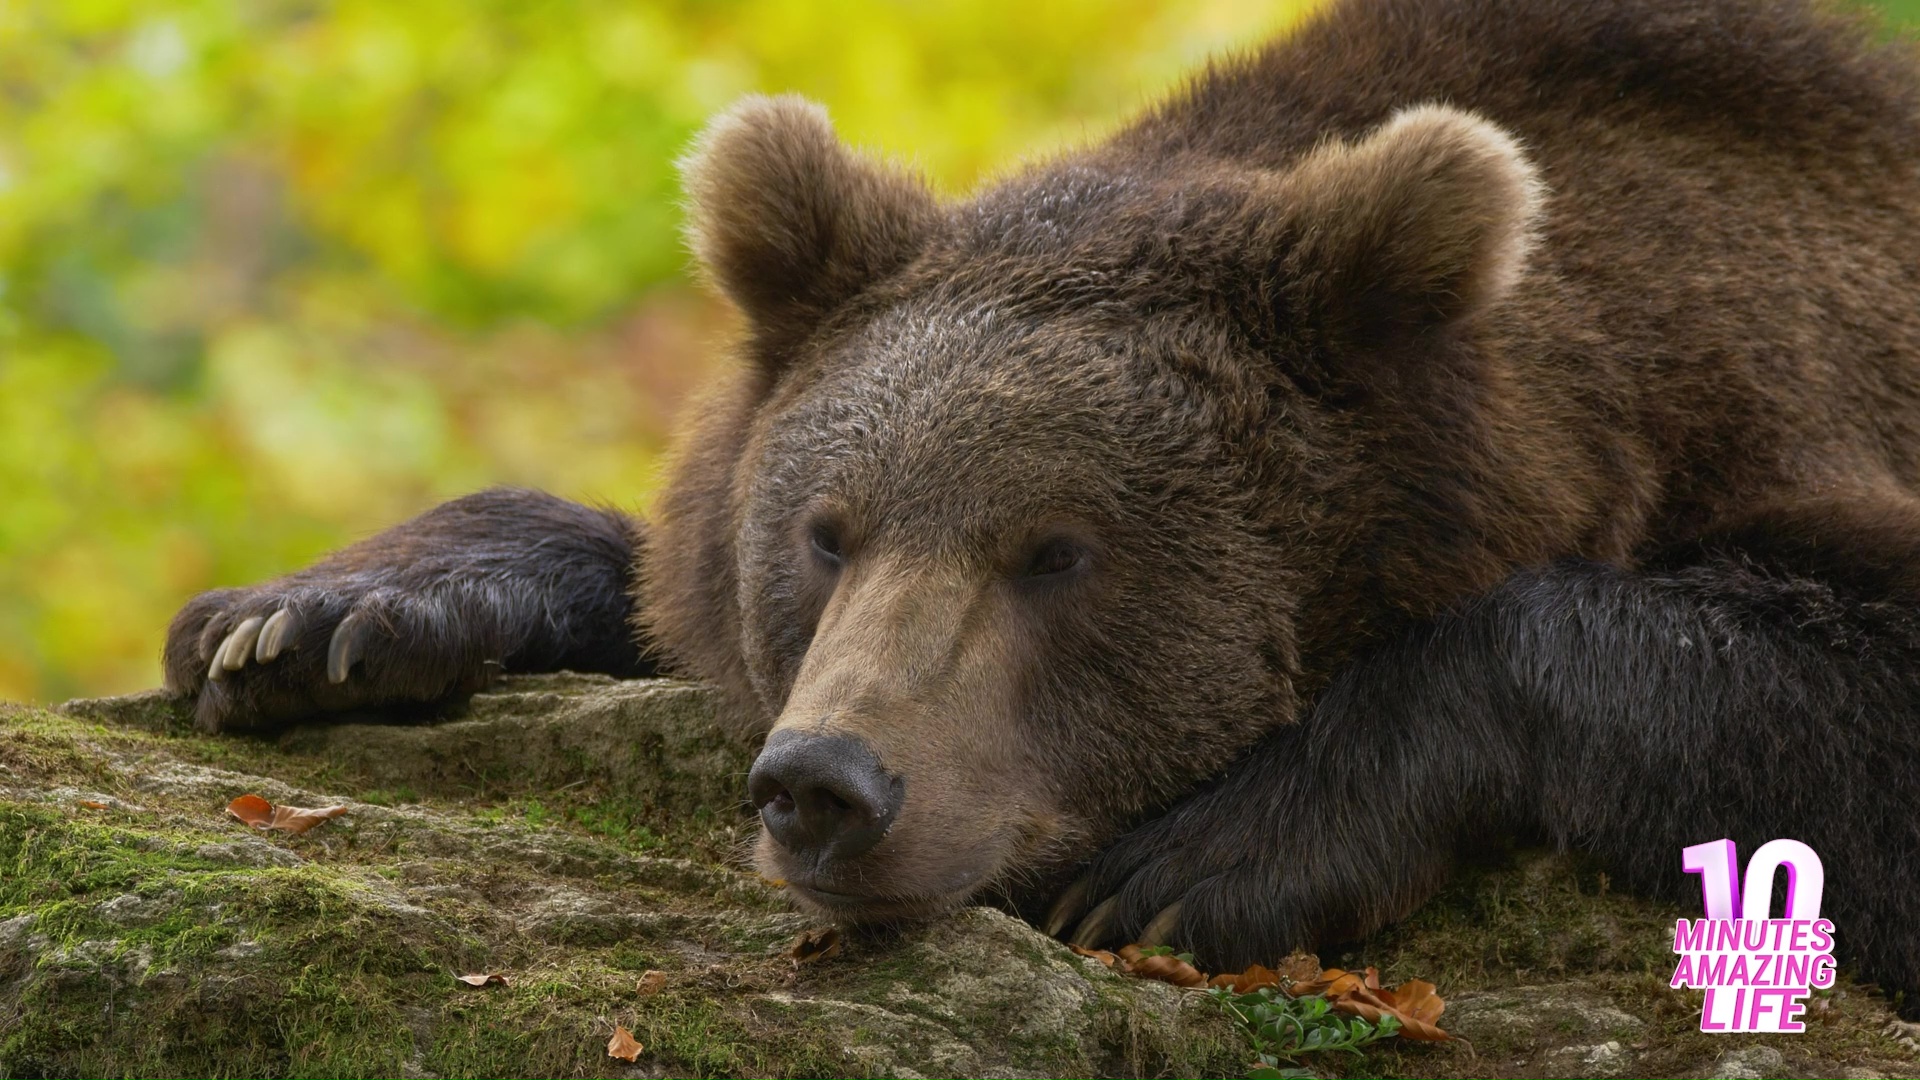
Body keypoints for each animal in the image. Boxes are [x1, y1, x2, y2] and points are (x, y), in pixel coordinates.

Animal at [164, 0, 1920, 1016]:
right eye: (826, 531)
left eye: (1059, 551)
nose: (823, 786)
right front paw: (298, 621)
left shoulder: (1791, 394)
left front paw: (1208, 857)